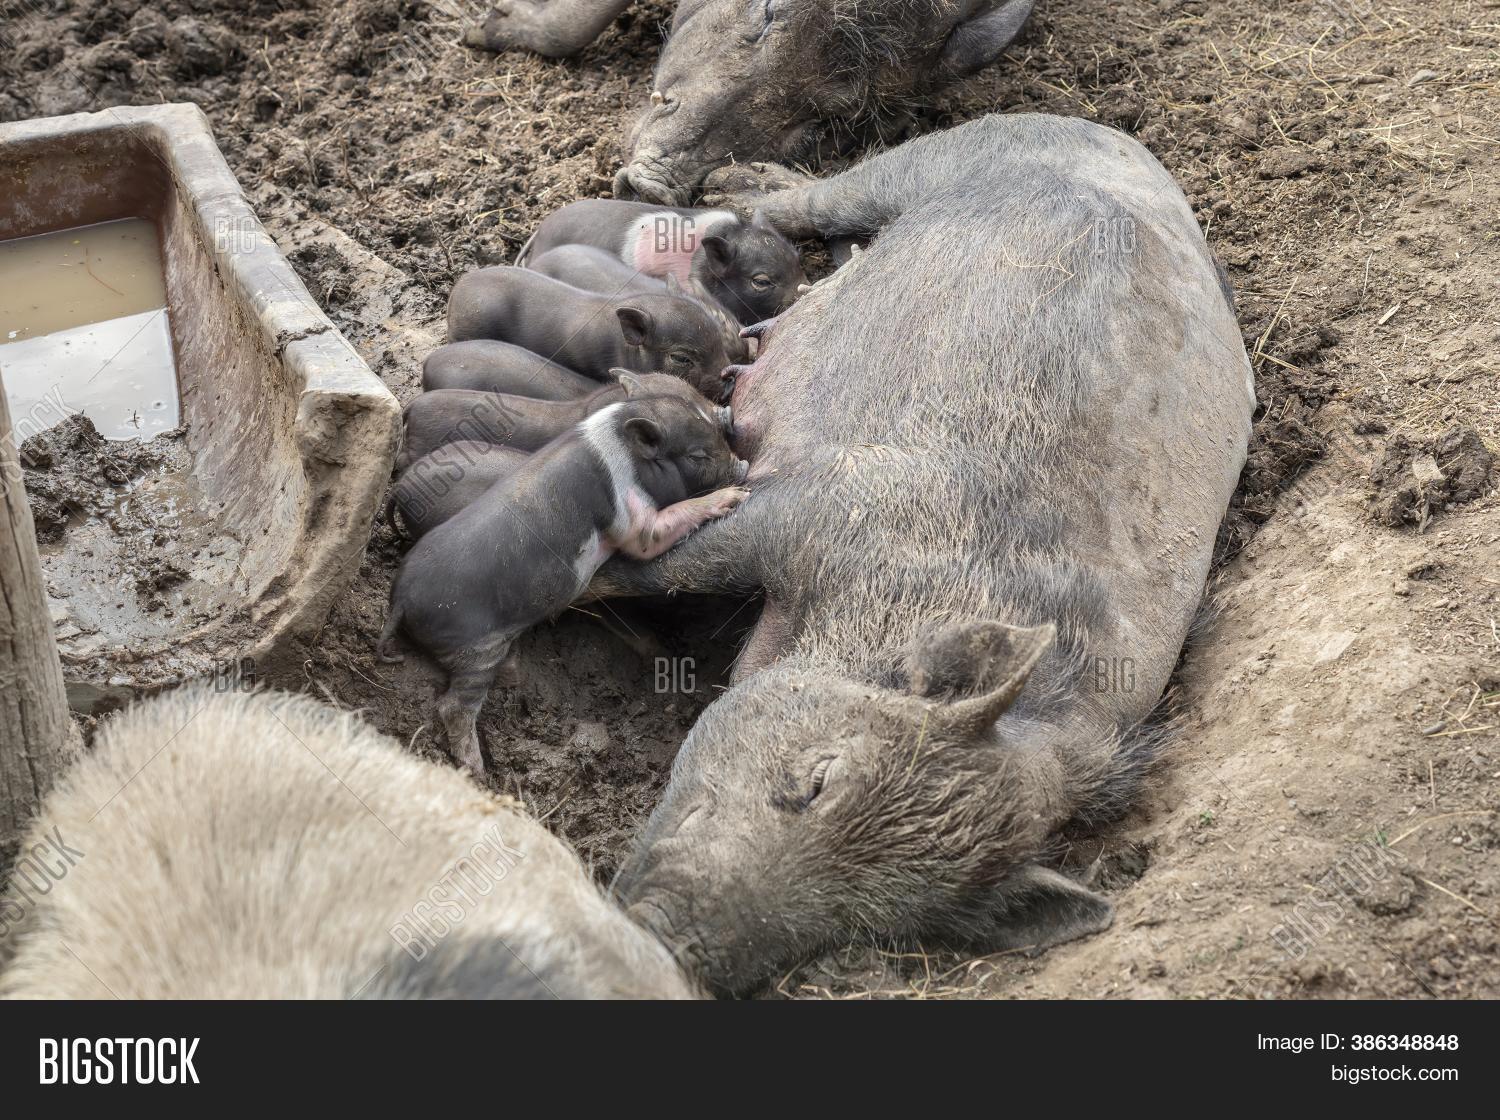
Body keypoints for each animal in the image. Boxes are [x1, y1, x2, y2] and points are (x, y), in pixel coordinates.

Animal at [379, 396, 750, 777]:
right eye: (696, 455)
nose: (744, 464)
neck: (627, 454)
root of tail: (401, 600)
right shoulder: (634, 524)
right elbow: (655, 532)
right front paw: (736, 496)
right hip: (473, 647)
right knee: (453, 706)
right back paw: (477, 770)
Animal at [588, 113, 1255, 994]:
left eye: (864, 920)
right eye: (816, 782)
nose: (670, 948)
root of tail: (1130, 152)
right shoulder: (815, 509)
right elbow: (655, 569)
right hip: (951, 155)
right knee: (821, 196)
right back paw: (734, 184)